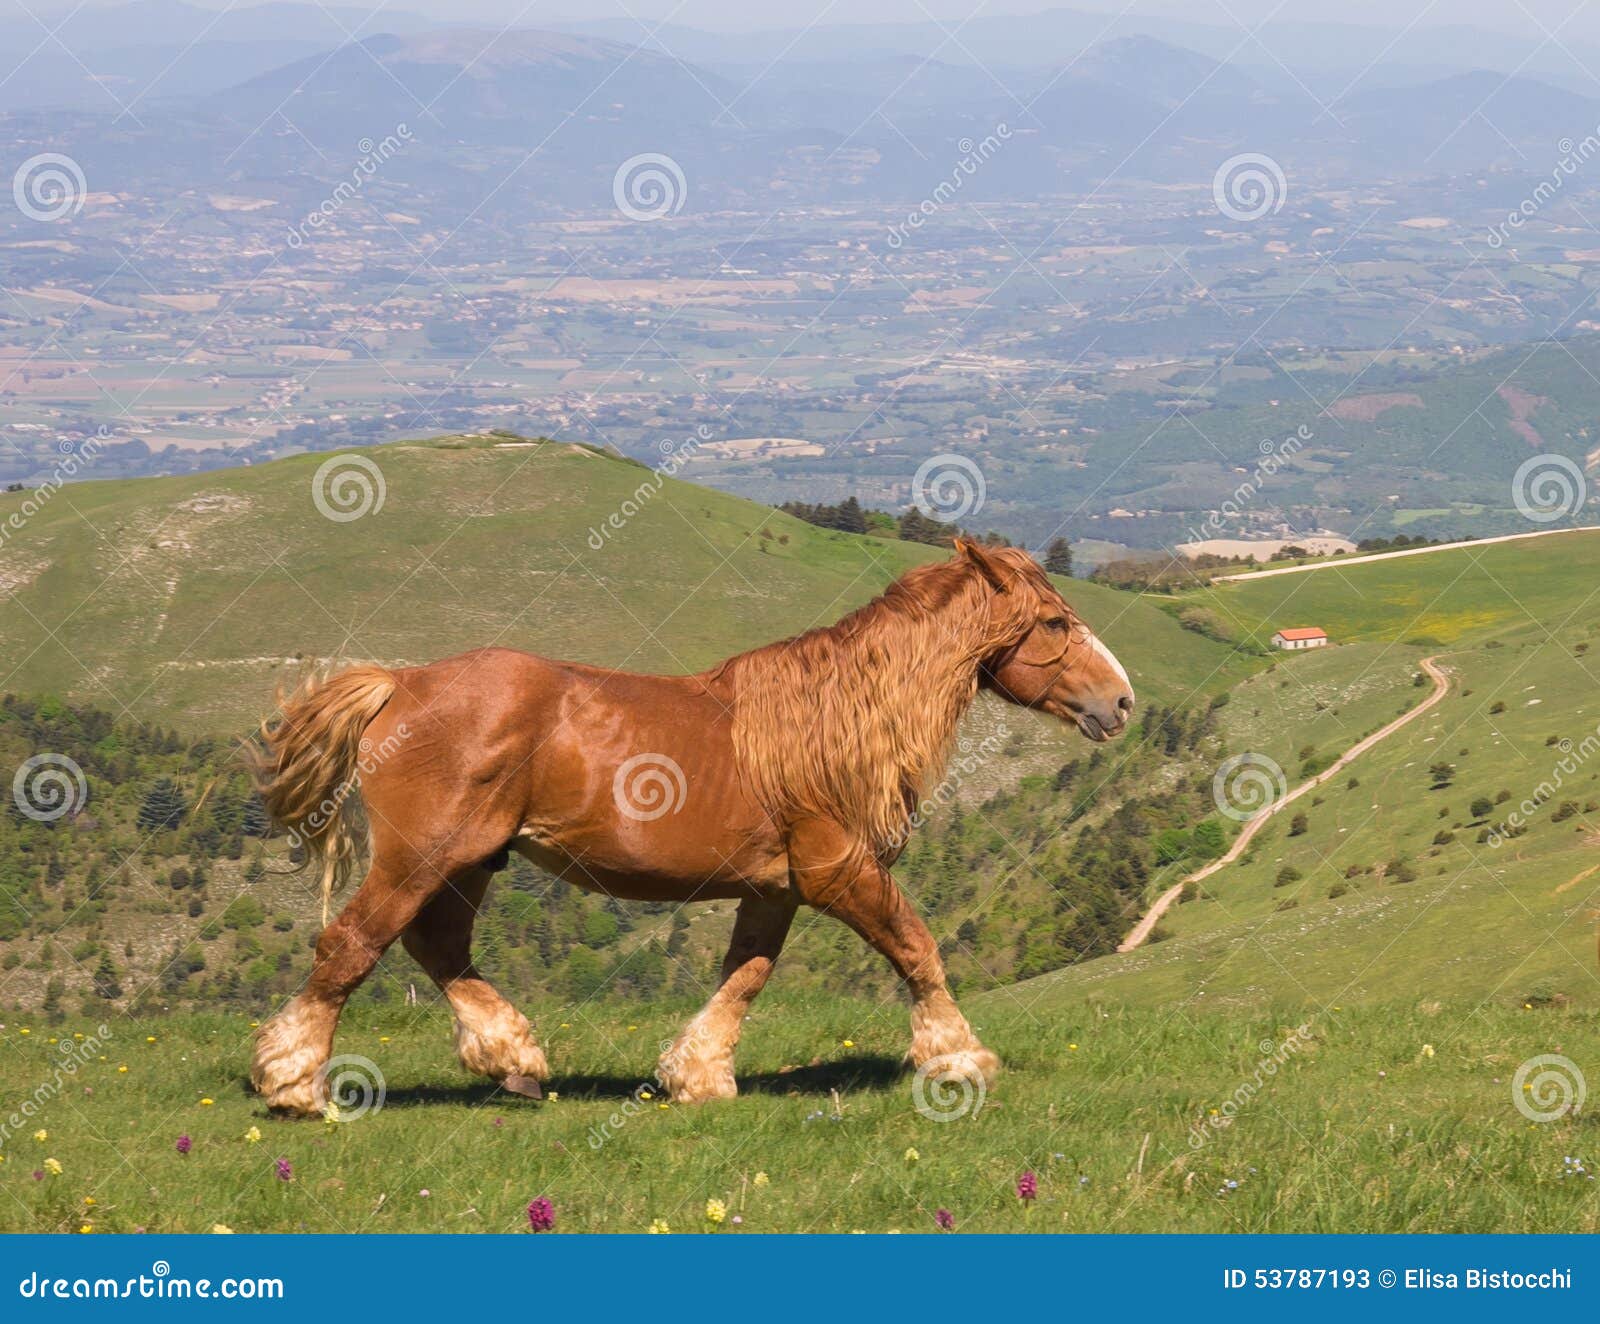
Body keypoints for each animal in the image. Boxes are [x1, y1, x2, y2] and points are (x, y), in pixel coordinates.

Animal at [247, 538, 1135, 1115]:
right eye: (1055, 623)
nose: (1121, 701)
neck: (839, 717)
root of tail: (399, 684)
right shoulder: (839, 870)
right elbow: (917, 948)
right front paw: (959, 1059)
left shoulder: (778, 888)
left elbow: (744, 976)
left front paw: (696, 1075)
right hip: (421, 858)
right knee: (351, 945)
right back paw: (294, 1086)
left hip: (468, 863)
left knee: (439, 950)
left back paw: (515, 1061)